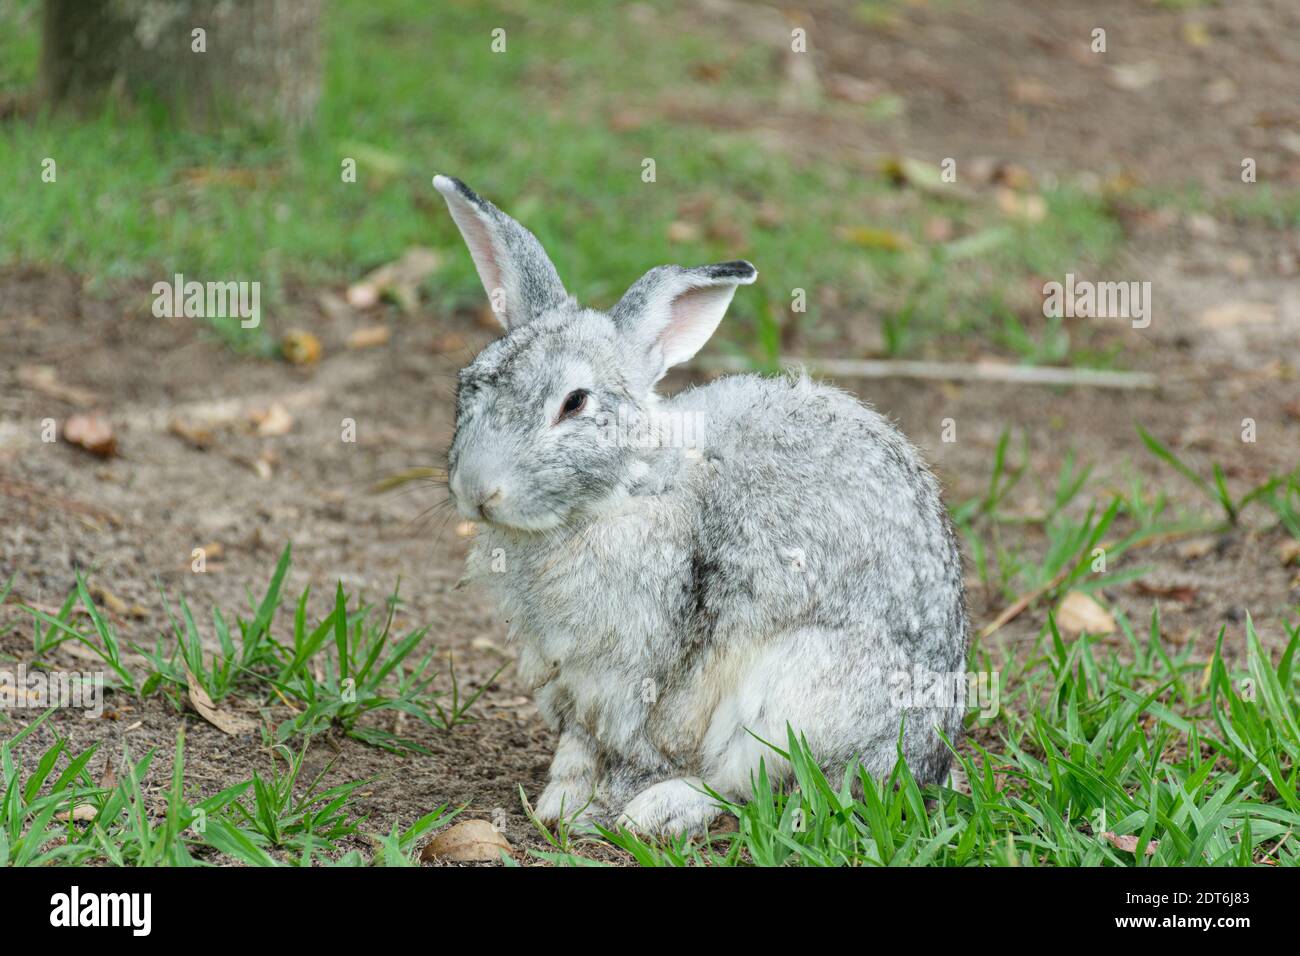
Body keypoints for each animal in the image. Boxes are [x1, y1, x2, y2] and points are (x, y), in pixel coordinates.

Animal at [433, 174, 969, 836]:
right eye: (472, 380)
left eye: (575, 403)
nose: (478, 489)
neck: (632, 486)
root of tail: (923, 763)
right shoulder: (577, 682)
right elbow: (579, 745)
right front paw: (559, 802)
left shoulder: (638, 671)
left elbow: (636, 748)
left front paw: (598, 810)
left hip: (793, 693)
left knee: (757, 784)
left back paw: (658, 810)